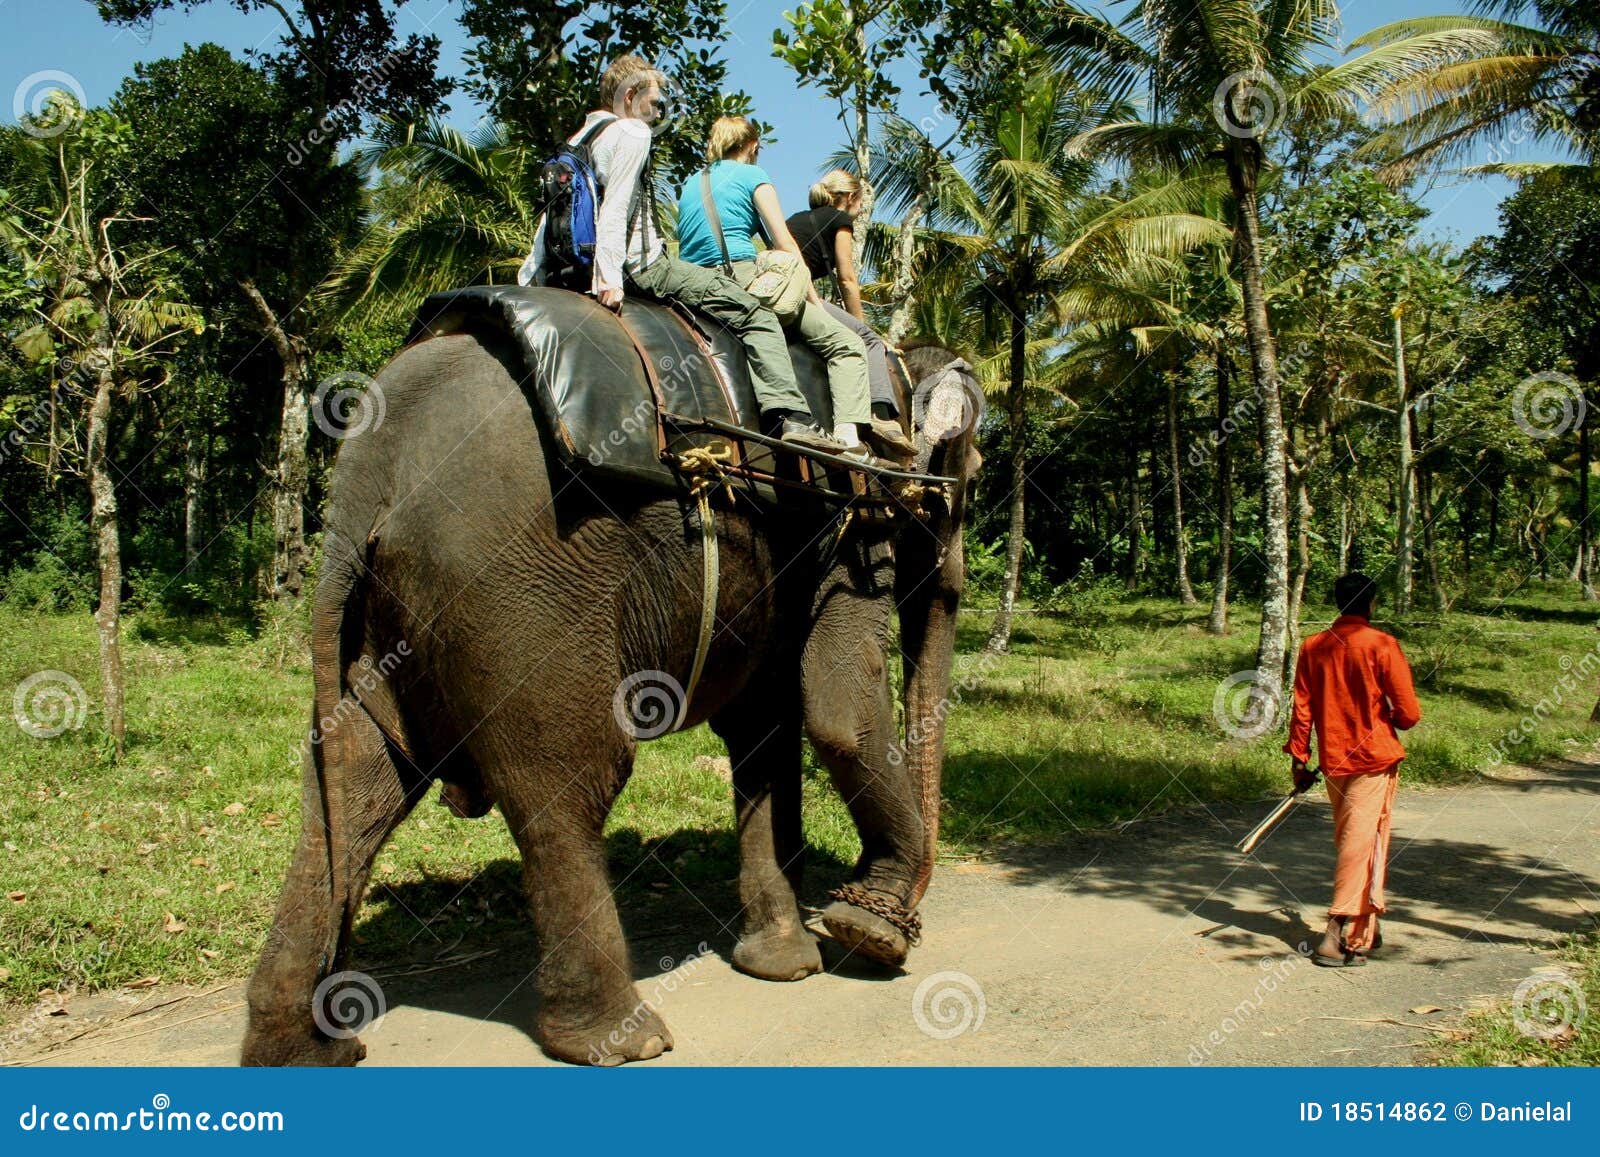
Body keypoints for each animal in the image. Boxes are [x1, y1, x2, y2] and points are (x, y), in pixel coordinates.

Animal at [240, 308, 982, 1067]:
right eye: (972, 478)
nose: (902, 922)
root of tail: (372, 468)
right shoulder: (856, 507)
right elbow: (836, 712)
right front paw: (869, 932)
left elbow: (764, 723)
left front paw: (786, 962)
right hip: (519, 591)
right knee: (570, 783)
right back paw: (624, 1037)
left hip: (389, 613)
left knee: (353, 781)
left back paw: (305, 1050)